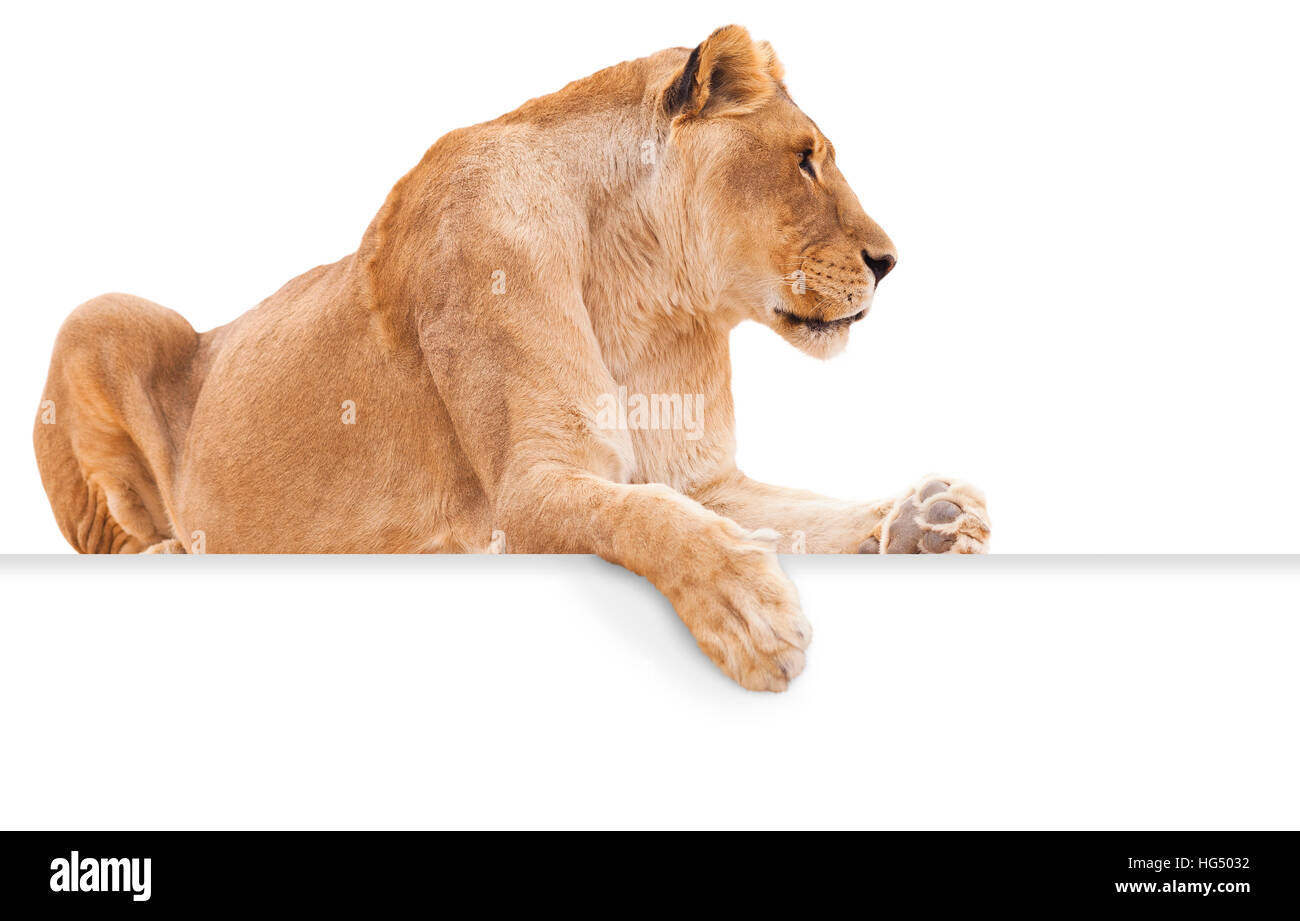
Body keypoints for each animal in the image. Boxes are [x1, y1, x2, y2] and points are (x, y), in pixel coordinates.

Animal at [33, 25, 989, 690]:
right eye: (804, 161)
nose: (889, 261)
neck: (651, 300)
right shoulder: (527, 492)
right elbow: (648, 518)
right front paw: (750, 611)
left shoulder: (708, 479)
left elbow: (805, 511)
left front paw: (927, 518)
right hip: (100, 314)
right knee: (110, 541)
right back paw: (174, 557)